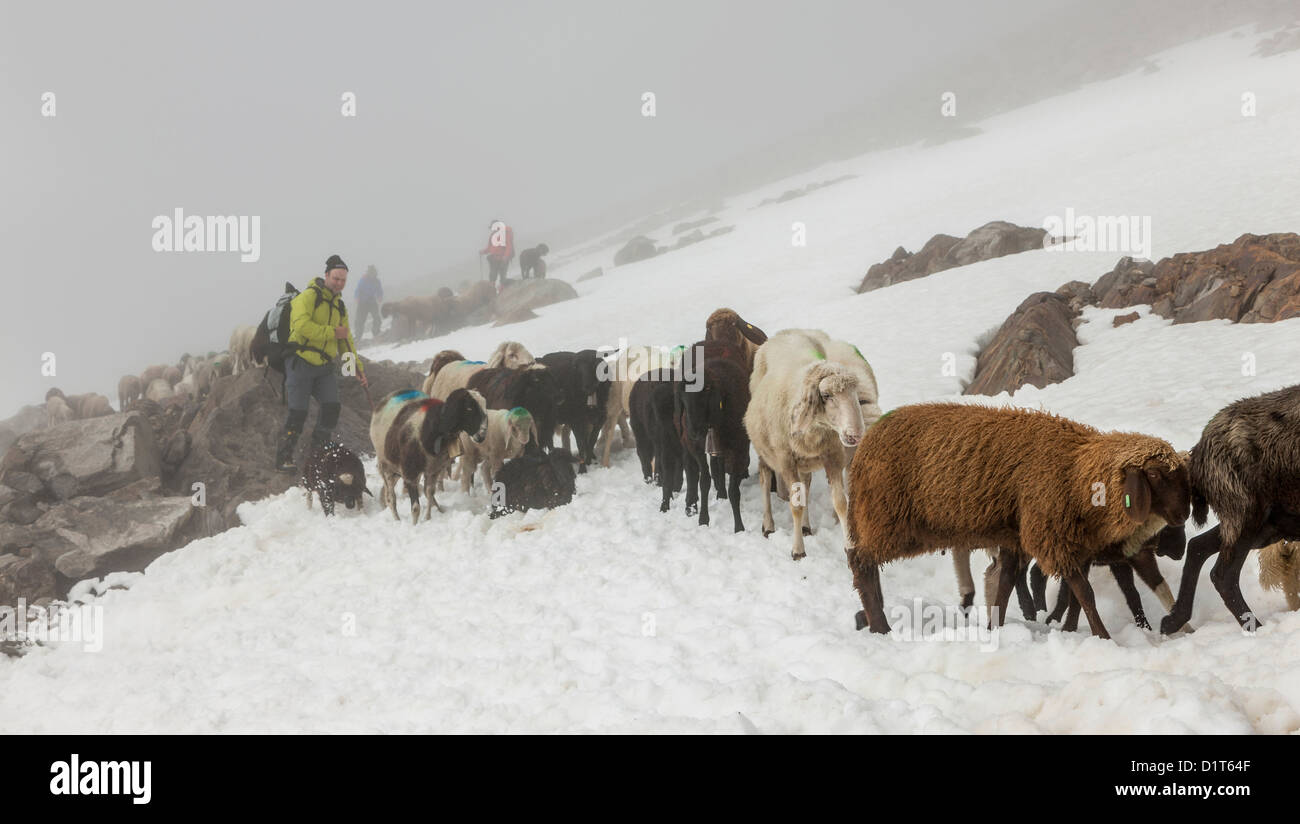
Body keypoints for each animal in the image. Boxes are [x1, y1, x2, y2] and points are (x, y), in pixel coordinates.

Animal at [369, 388, 488, 522]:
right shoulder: (410, 473)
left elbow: (429, 493)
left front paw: (428, 518)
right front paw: (415, 525)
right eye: (469, 408)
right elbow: (415, 508)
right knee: (391, 498)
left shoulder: (433, 470)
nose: (482, 435)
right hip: (386, 466)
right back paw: (397, 520)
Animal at [744, 330, 868, 560]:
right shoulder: (786, 461)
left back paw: (806, 526)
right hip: (765, 449)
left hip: (806, 460)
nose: (855, 435)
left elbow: (841, 503)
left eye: (855, 394)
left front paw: (850, 547)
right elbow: (795, 506)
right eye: (826, 395)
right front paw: (798, 550)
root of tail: (787, 332)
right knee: (765, 479)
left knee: (807, 485)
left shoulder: (832, 457)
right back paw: (768, 525)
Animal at [845, 403, 1190, 639]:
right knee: (861, 562)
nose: (1183, 514)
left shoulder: (1044, 541)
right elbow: (1085, 594)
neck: (1076, 470)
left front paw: (997, 629)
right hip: (886, 518)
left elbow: (1011, 586)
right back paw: (880, 626)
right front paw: (1102, 637)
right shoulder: (1051, 537)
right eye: (1154, 475)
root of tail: (866, 444)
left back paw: (869, 619)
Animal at [1164, 384, 1300, 633]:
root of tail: (1198, 454)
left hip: (1262, 526)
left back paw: (1174, 619)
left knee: (1197, 546)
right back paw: (1255, 627)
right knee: (1222, 575)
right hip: (1248, 518)